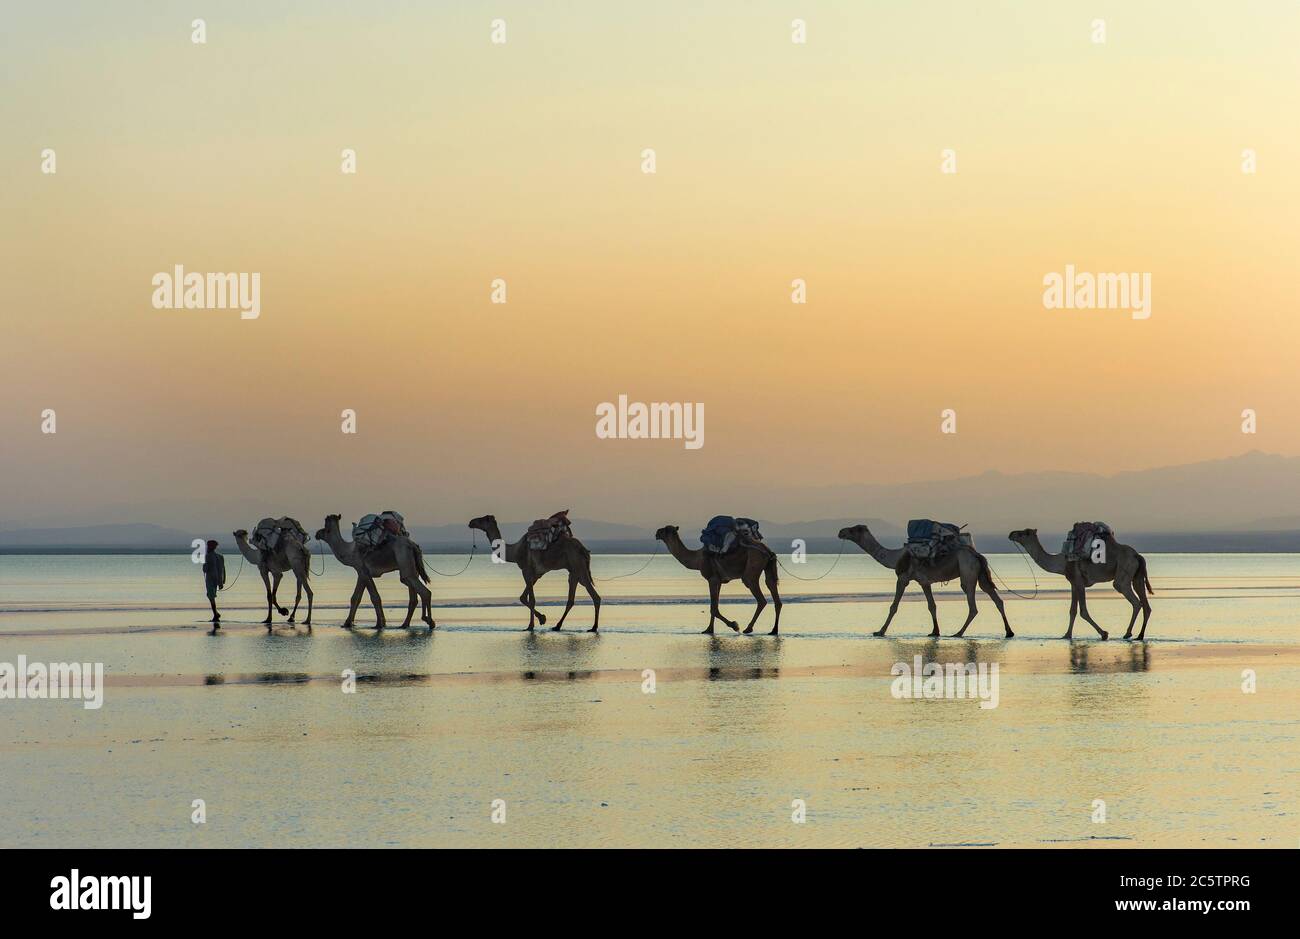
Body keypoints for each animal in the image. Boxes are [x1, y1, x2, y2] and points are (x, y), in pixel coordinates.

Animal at [467, 514, 600, 631]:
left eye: (483, 519)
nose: (471, 522)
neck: (515, 551)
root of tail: (584, 550)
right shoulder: (536, 574)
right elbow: (523, 597)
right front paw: (541, 619)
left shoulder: (526, 570)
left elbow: (531, 599)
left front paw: (531, 625)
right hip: (574, 572)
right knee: (573, 599)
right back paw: (558, 626)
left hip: (579, 567)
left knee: (593, 596)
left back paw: (593, 627)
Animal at [837, 524, 1012, 638]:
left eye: (853, 529)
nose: (841, 532)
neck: (896, 557)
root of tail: (976, 554)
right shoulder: (924, 581)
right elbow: (932, 606)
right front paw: (935, 631)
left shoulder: (904, 578)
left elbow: (894, 606)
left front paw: (880, 631)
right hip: (981, 574)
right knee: (996, 599)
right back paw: (1009, 632)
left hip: (967, 572)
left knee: (973, 606)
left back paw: (958, 633)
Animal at [1007, 528, 1153, 640]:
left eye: (1024, 533)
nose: (1011, 533)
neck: (1063, 562)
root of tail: (1137, 555)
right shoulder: (1073, 583)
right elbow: (1072, 610)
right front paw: (1067, 635)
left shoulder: (1079, 581)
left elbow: (1083, 611)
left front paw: (1104, 634)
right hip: (1137, 576)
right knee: (1146, 605)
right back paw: (1139, 635)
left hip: (1123, 574)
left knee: (1135, 601)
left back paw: (1128, 633)